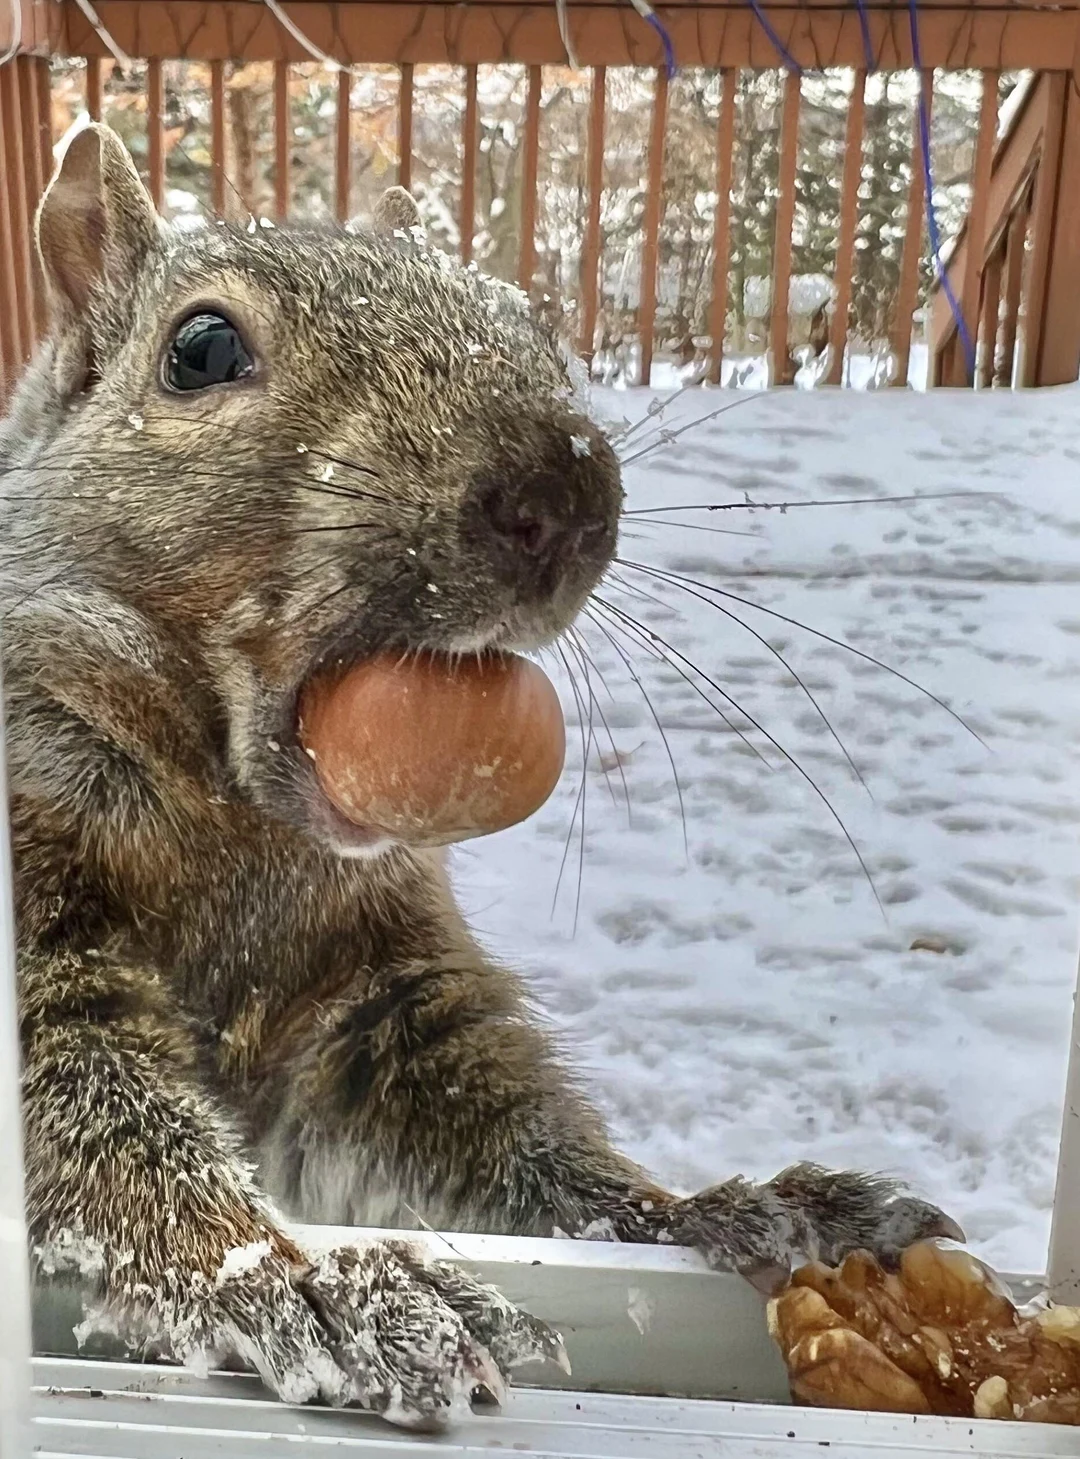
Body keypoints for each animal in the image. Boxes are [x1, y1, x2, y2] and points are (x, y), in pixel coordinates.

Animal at [0, 122, 962, 1429]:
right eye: (200, 349)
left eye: (526, 324)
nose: (566, 489)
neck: (246, 833)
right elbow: (91, 1107)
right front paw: (311, 1279)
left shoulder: (381, 997)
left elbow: (496, 1131)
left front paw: (701, 1208)